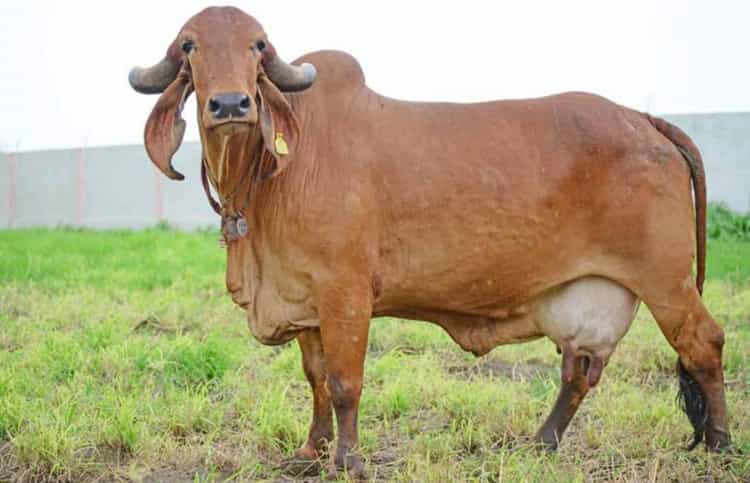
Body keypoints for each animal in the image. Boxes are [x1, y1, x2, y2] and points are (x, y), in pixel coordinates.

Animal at [129, 6, 731, 478]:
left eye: (258, 45)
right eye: (189, 45)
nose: (232, 105)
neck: (269, 174)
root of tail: (642, 119)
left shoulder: (345, 292)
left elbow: (345, 382)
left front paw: (349, 461)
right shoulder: (306, 301)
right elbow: (316, 379)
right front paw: (310, 452)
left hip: (667, 281)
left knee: (704, 343)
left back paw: (721, 445)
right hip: (592, 295)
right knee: (579, 371)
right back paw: (541, 443)